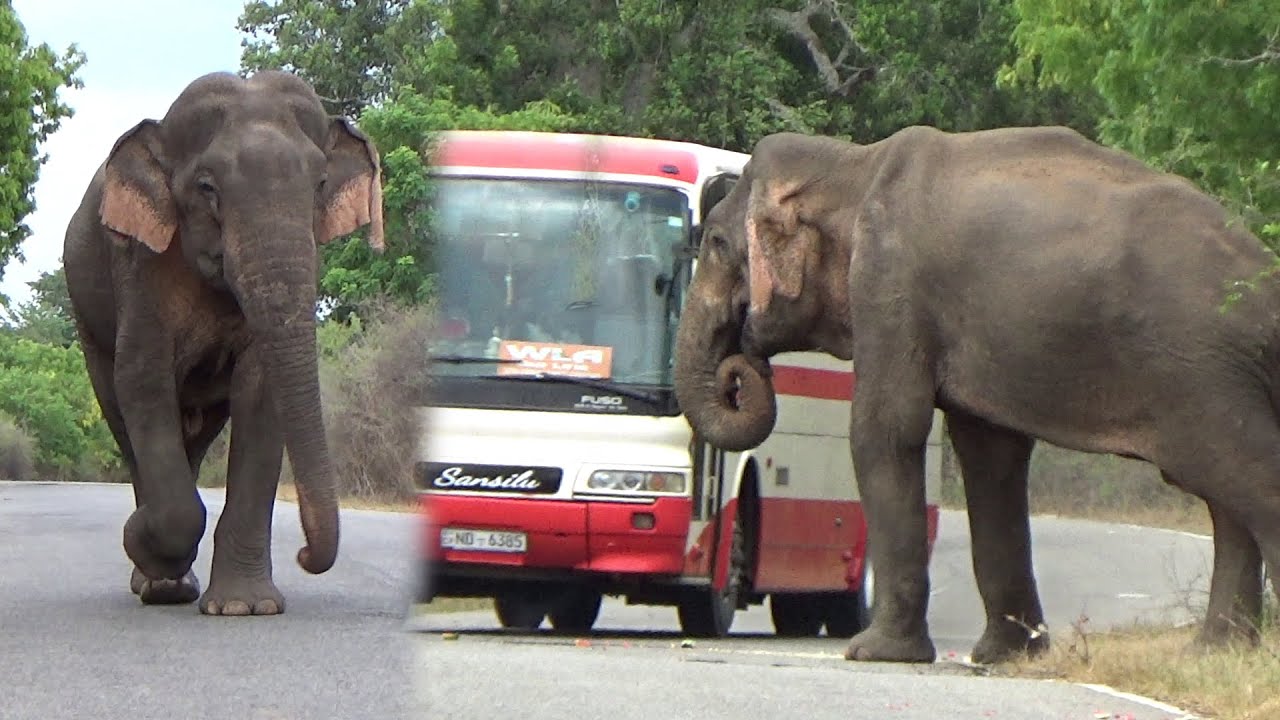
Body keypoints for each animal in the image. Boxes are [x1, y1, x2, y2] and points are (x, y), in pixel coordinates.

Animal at [62, 70, 384, 615]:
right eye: (207, 188)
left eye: (320, 185)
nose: (303, 554)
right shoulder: (140, 265)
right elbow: (142, 379)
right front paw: (140, 539)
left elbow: (260, 392)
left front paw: (244, 608)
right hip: (88, 323)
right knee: (122, 416)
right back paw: (158, 581)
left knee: (195, 437)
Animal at [673, 124, 1280, 664]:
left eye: (717, 244)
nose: (739, 369)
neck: (853, 165)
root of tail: (1266, 283)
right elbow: (990, 456)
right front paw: (1005, 656)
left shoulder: (890, 287)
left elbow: (886, 430)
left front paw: (874, 654)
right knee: (1225, 497)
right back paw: (1212, 654)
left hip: (1199, 371)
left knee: (1238, 474)